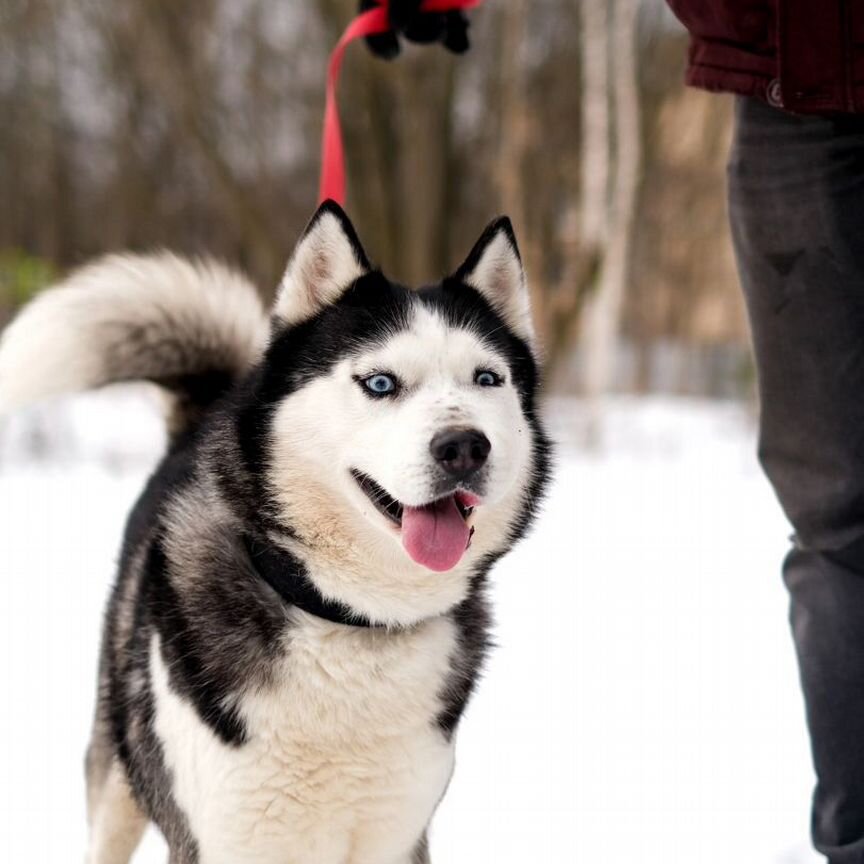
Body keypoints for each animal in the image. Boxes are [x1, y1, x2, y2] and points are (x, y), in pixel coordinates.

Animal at [0, 204, 552, 864]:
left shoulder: (397, 836)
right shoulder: (224, 839)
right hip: (117, 784)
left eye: (487, 379)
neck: (350, 620)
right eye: (381, 384)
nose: (465, 446)